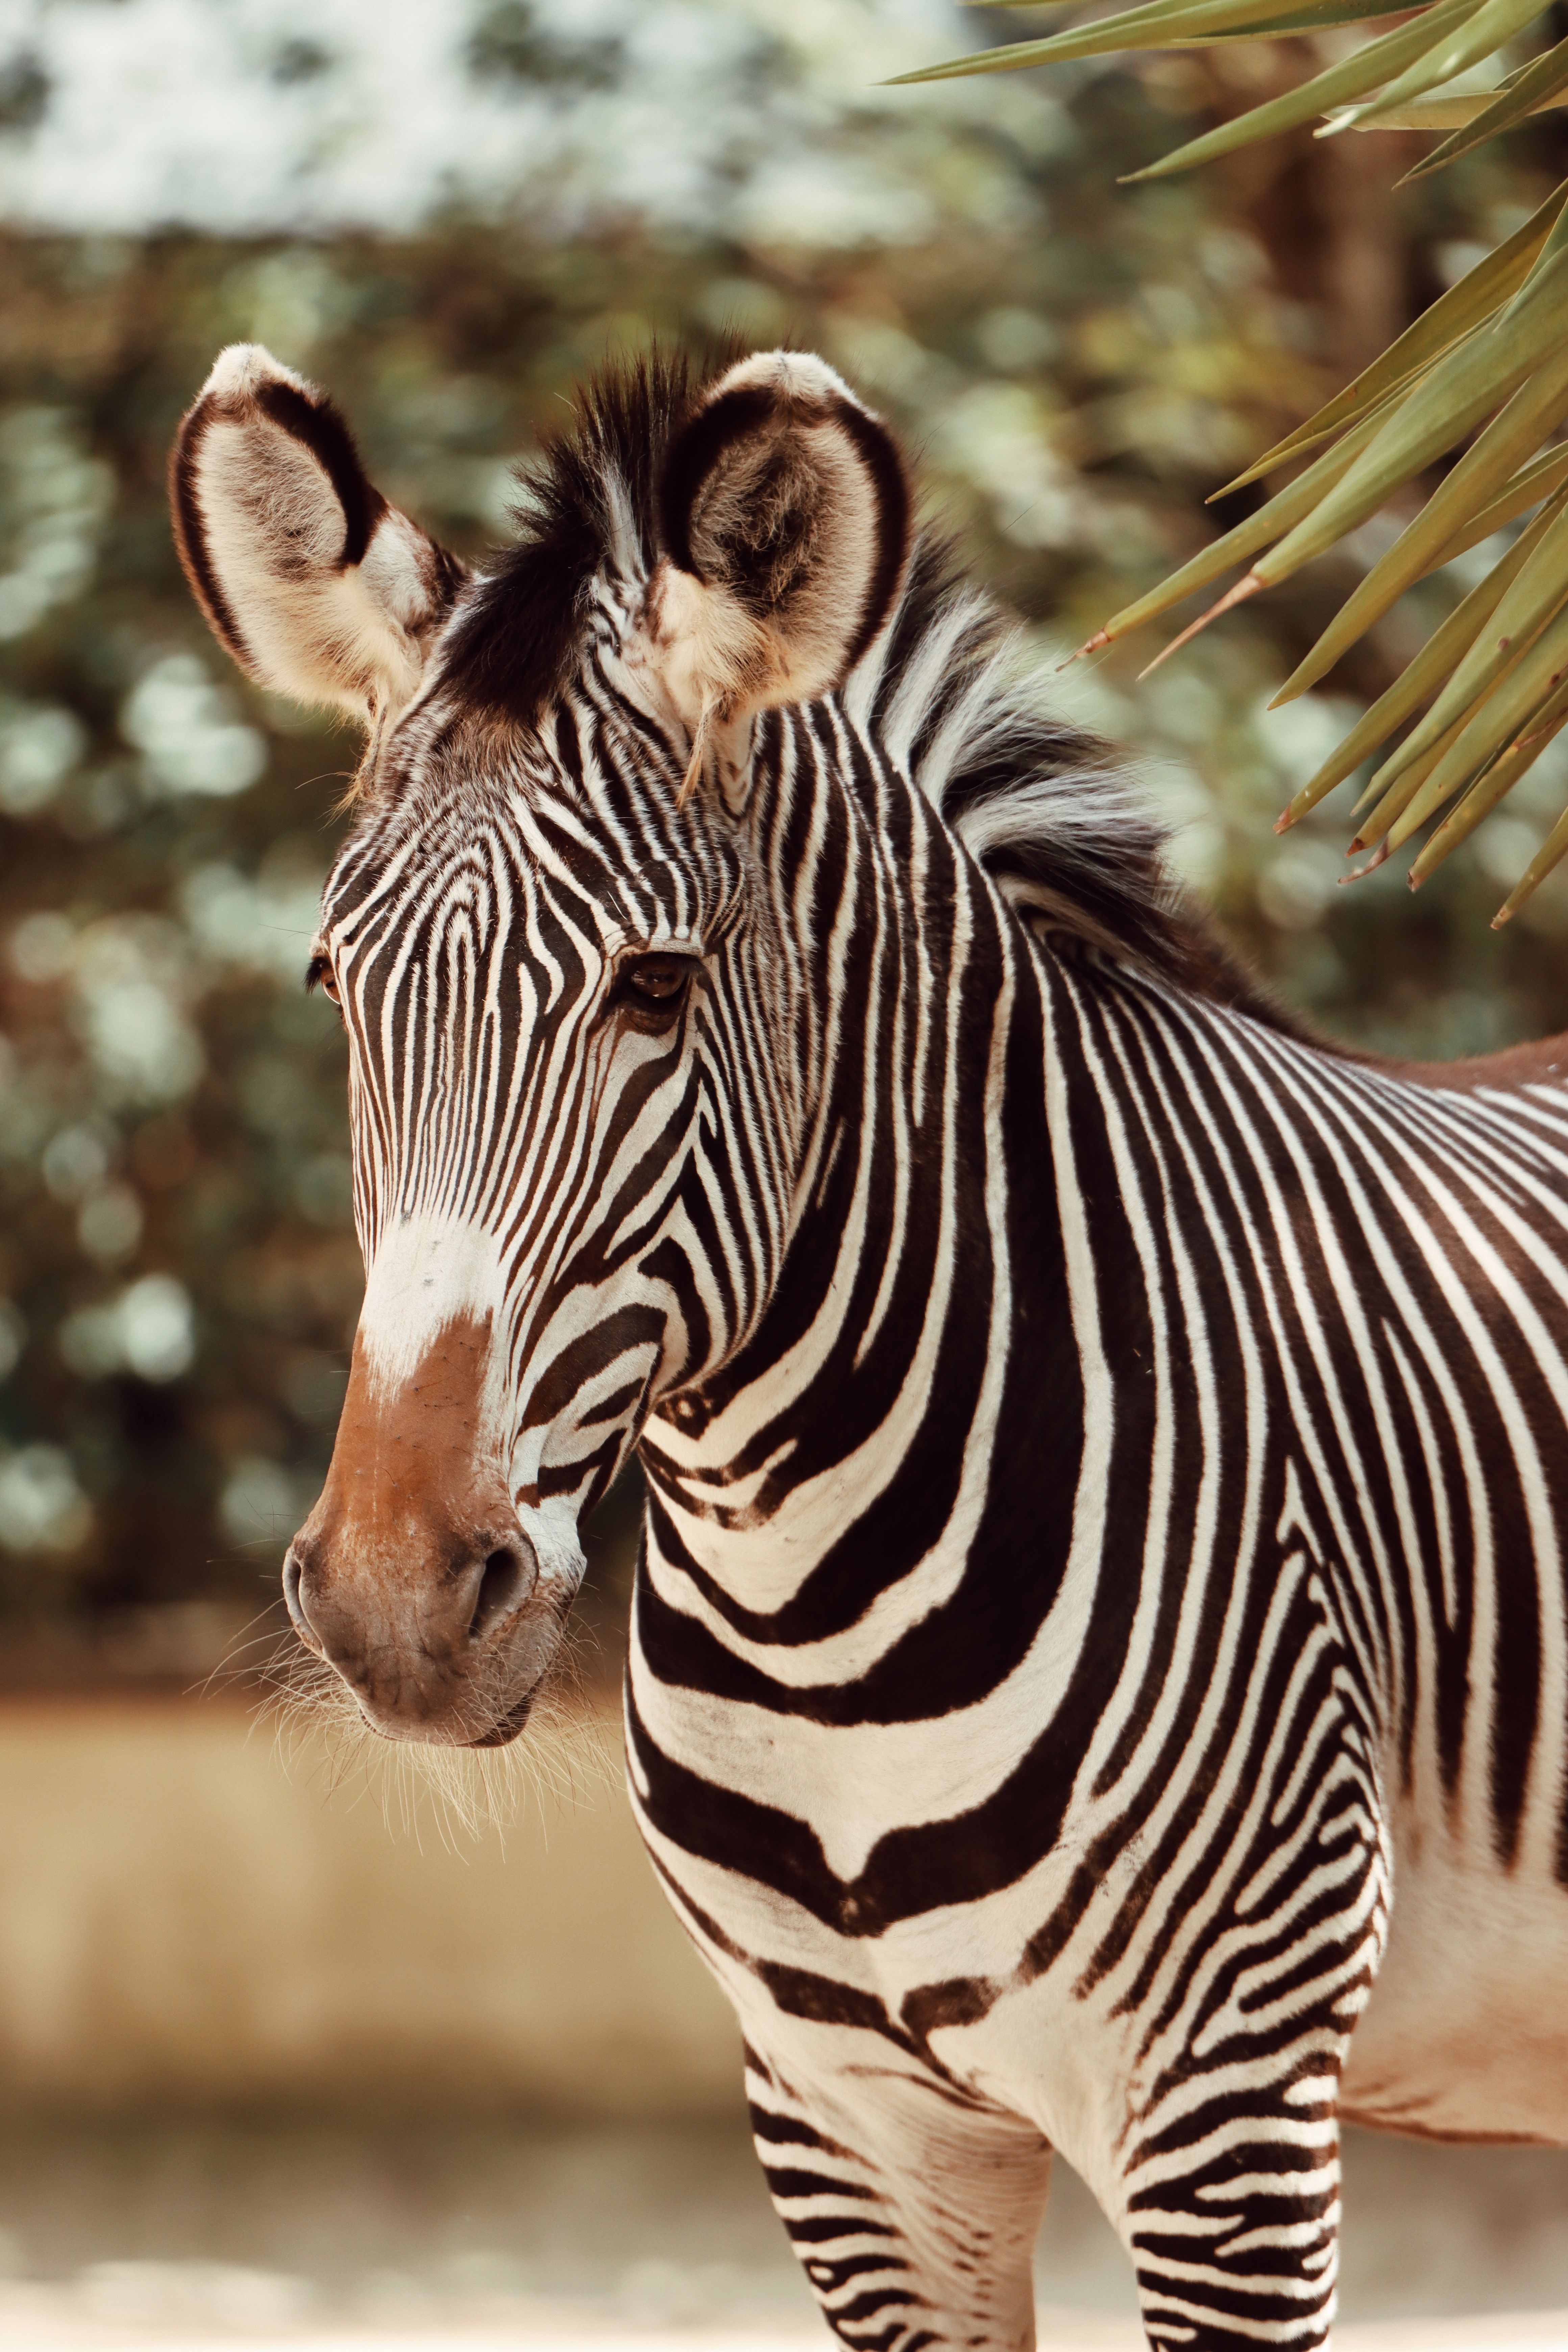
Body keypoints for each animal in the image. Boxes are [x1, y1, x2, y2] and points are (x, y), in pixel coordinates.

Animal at [171, 338, 1568, 2352]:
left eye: (655, 988)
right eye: (335, 986)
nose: (393, 1607)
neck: (814, 1613)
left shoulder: (1229, 2104)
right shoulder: (848, 2127)